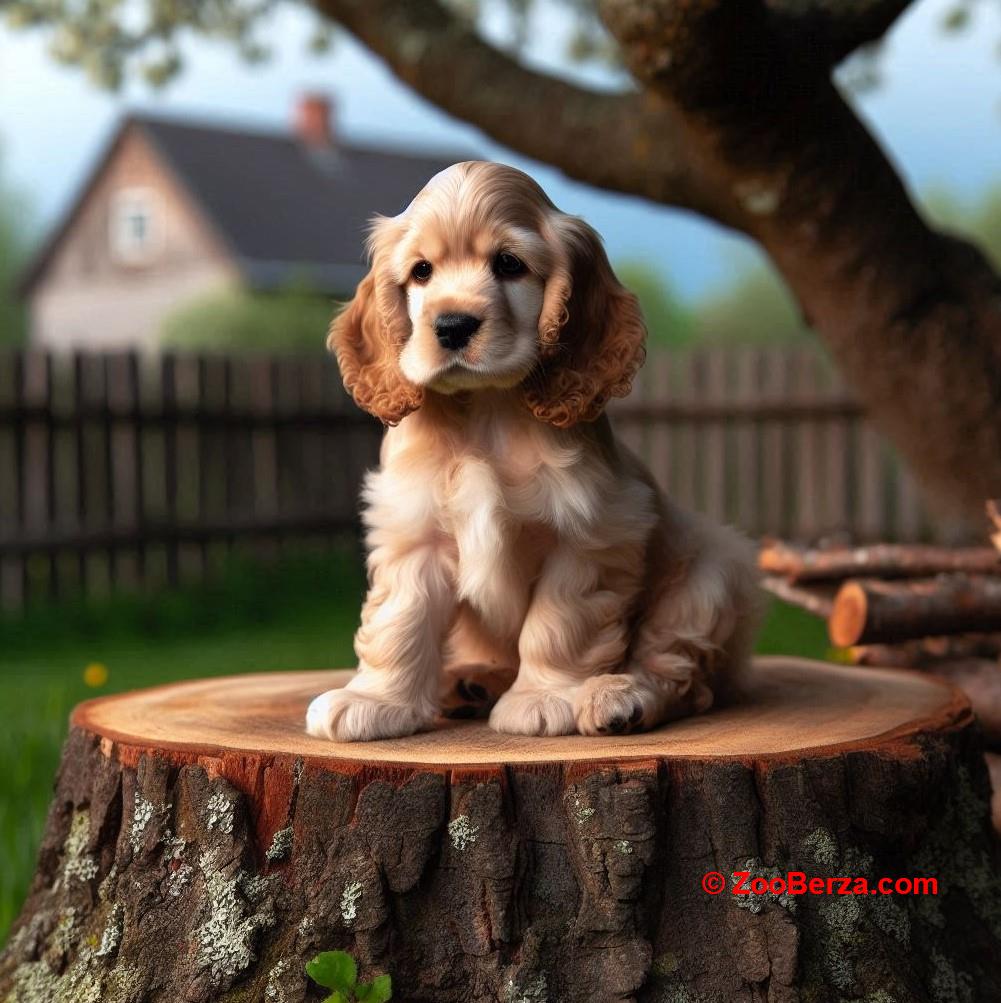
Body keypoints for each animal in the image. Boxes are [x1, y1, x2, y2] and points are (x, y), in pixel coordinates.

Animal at [304, 162, 758, 746]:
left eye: (509, 264)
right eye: (421, 272)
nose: (452, 325)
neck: (486, 410)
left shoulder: (589, 534)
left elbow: (558, 625)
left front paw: (543, 698)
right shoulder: (413, 533)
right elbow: (398, 623)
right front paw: (376, 702)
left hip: (713, 574)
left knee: (680, 670)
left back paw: (619, 697)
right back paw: (469, 684)